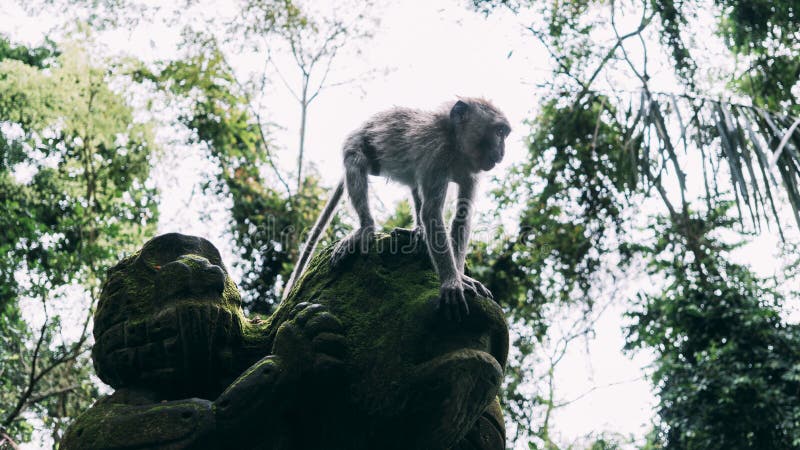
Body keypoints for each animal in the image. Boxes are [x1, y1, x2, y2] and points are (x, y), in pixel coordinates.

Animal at [282, 98, 511, 321]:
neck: (455, 143)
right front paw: (451, 281)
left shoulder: (470, 170)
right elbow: (432, 213)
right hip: (358, 142)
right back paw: (366, 227)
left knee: (415, 182)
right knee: (356, 159)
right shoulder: (437, 152)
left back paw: (418, 231)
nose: (502, 150)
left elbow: (461, 217)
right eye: (499, 132)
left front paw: (460, 275)